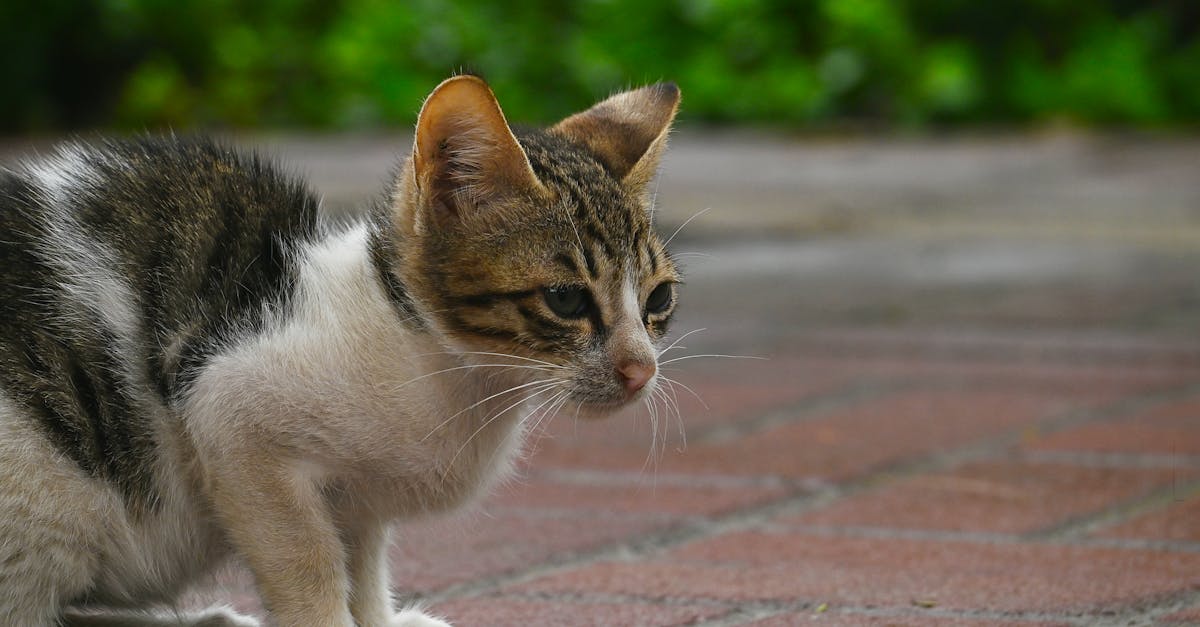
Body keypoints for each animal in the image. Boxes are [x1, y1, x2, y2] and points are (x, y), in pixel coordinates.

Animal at [0, 78, 681, 624]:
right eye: (566, 299)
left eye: (660, 298)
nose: (640, 369)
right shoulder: (230, 415)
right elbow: (308, 560)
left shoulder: (356, 500)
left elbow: (363, 564)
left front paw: (379, 618)